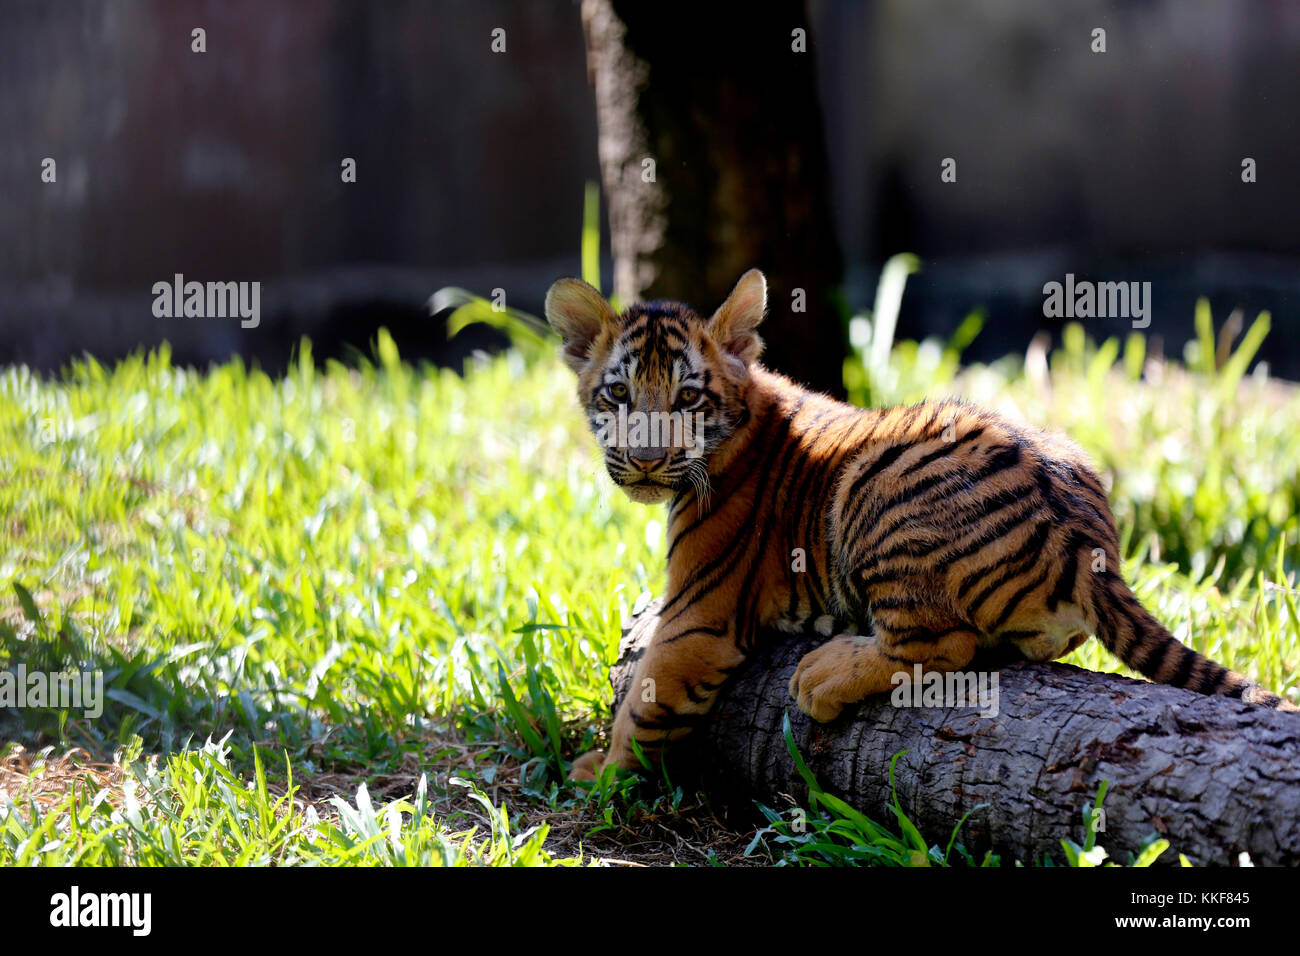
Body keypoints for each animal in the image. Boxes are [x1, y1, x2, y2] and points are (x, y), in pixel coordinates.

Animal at [545, 268, 1297, 781]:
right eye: (618, 393)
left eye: (688, 398)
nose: (647, 461)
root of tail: (1087, 542)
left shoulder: (698, 617)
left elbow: (644, 701)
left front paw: (598, 774)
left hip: (876, 485)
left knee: (943, 645)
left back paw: (823, 674)